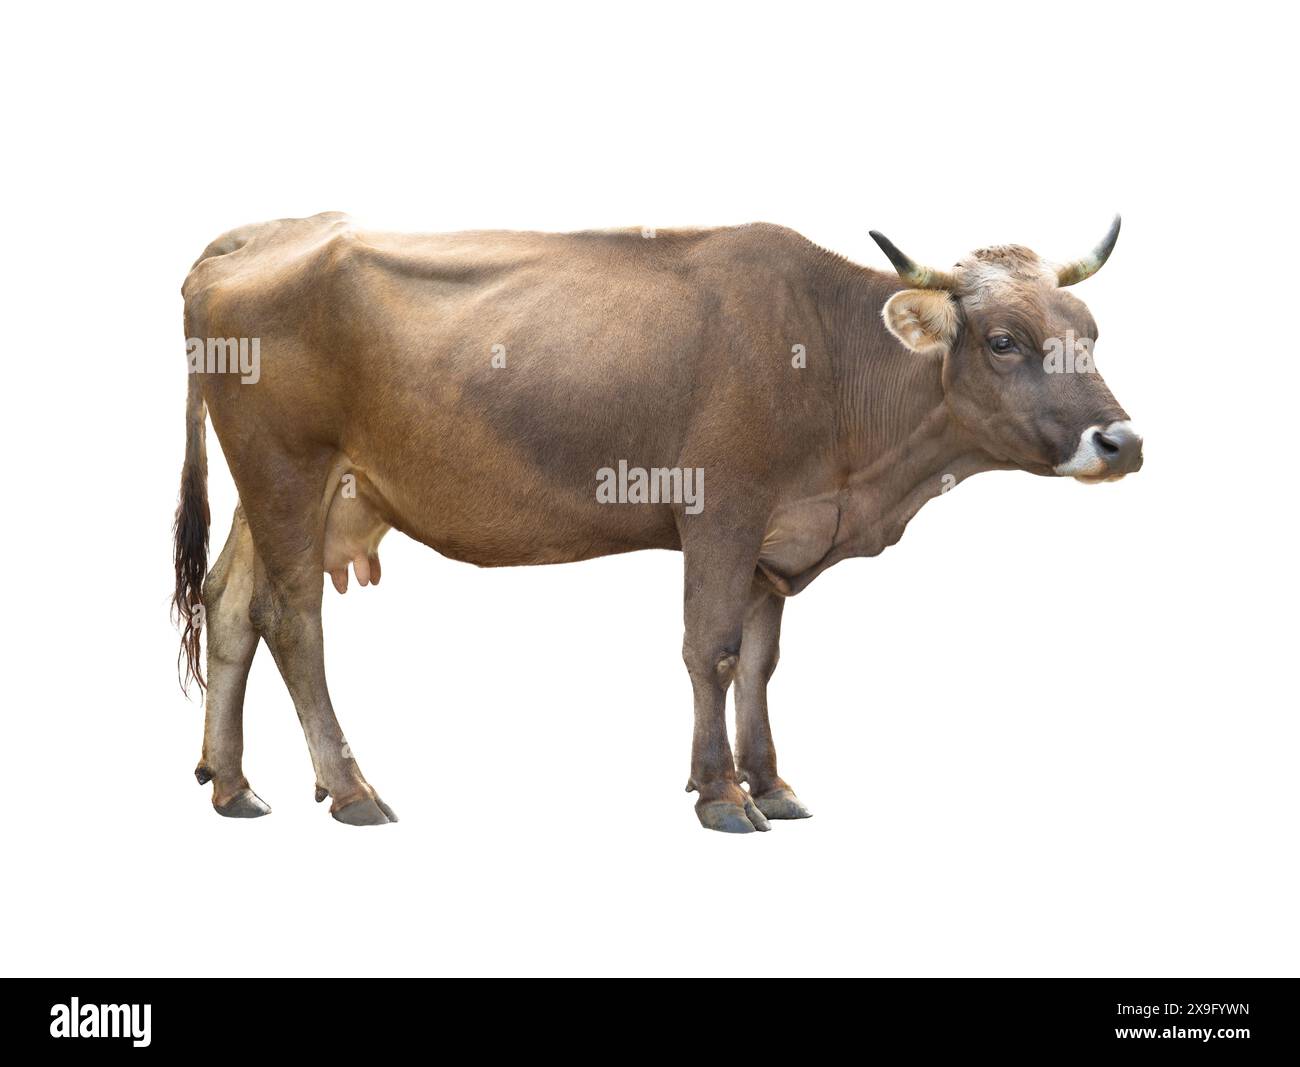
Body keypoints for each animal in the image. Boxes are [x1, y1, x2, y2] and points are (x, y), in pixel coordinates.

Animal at [174, 213, 1141, 831]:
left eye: (1091, 332)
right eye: (1005, 340)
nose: (1122, 440)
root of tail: (256, 234)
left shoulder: (777, 532)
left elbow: (760, 659)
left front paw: (769, 780)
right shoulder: (721, 509)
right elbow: (710, 648)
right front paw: (721, 793)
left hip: (283, 491)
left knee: (229, 604)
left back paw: (231, 783)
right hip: (289, 469)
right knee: (292, 618)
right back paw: (349, 788)